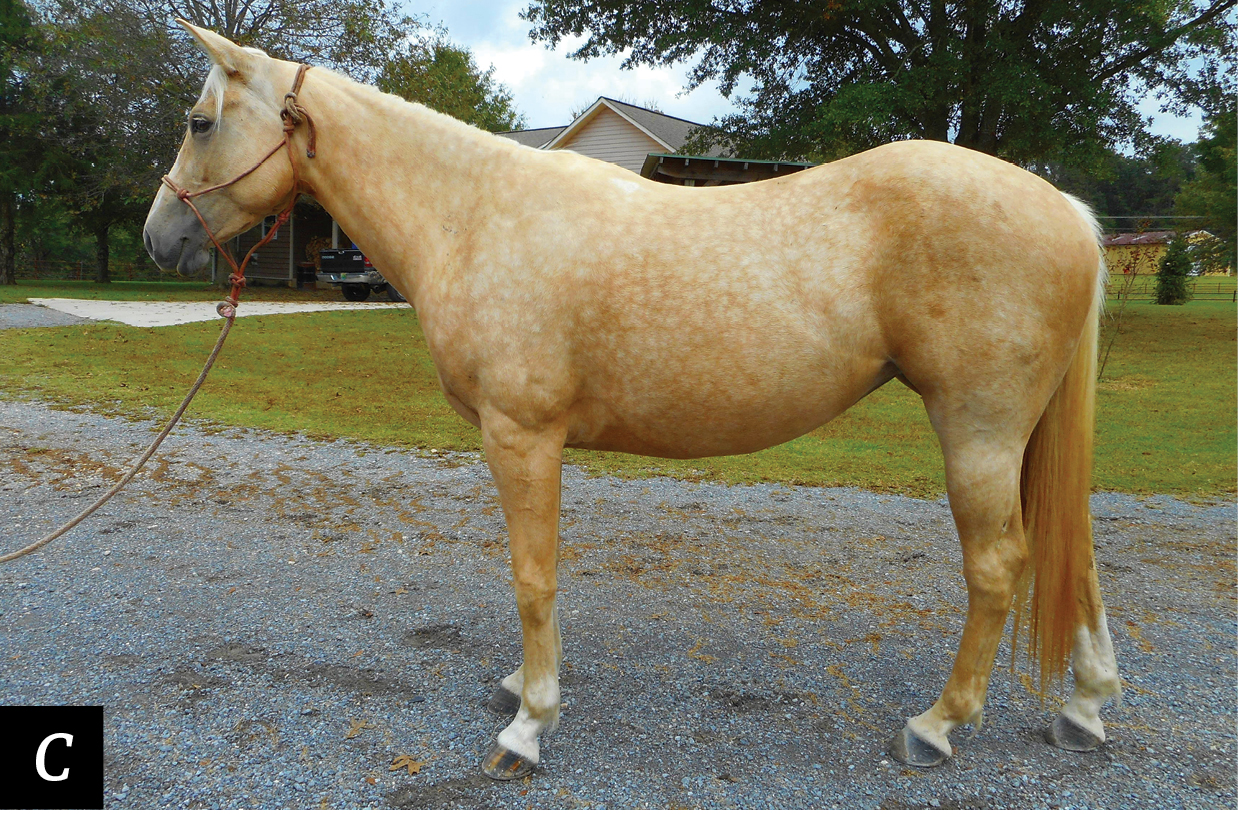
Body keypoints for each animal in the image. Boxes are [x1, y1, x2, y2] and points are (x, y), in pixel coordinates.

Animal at [143, 22, 1122, 780]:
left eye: (199, 121)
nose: (159, 237)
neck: (475, 215)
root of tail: (1070, 214)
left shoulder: (522, 437)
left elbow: (533, 577)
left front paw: (529, 725)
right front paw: (524, 690)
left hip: (978, 432)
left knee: (998, 568)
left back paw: (937, 726)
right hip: (1020, 439)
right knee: (1072, 558)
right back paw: (1085, 708)